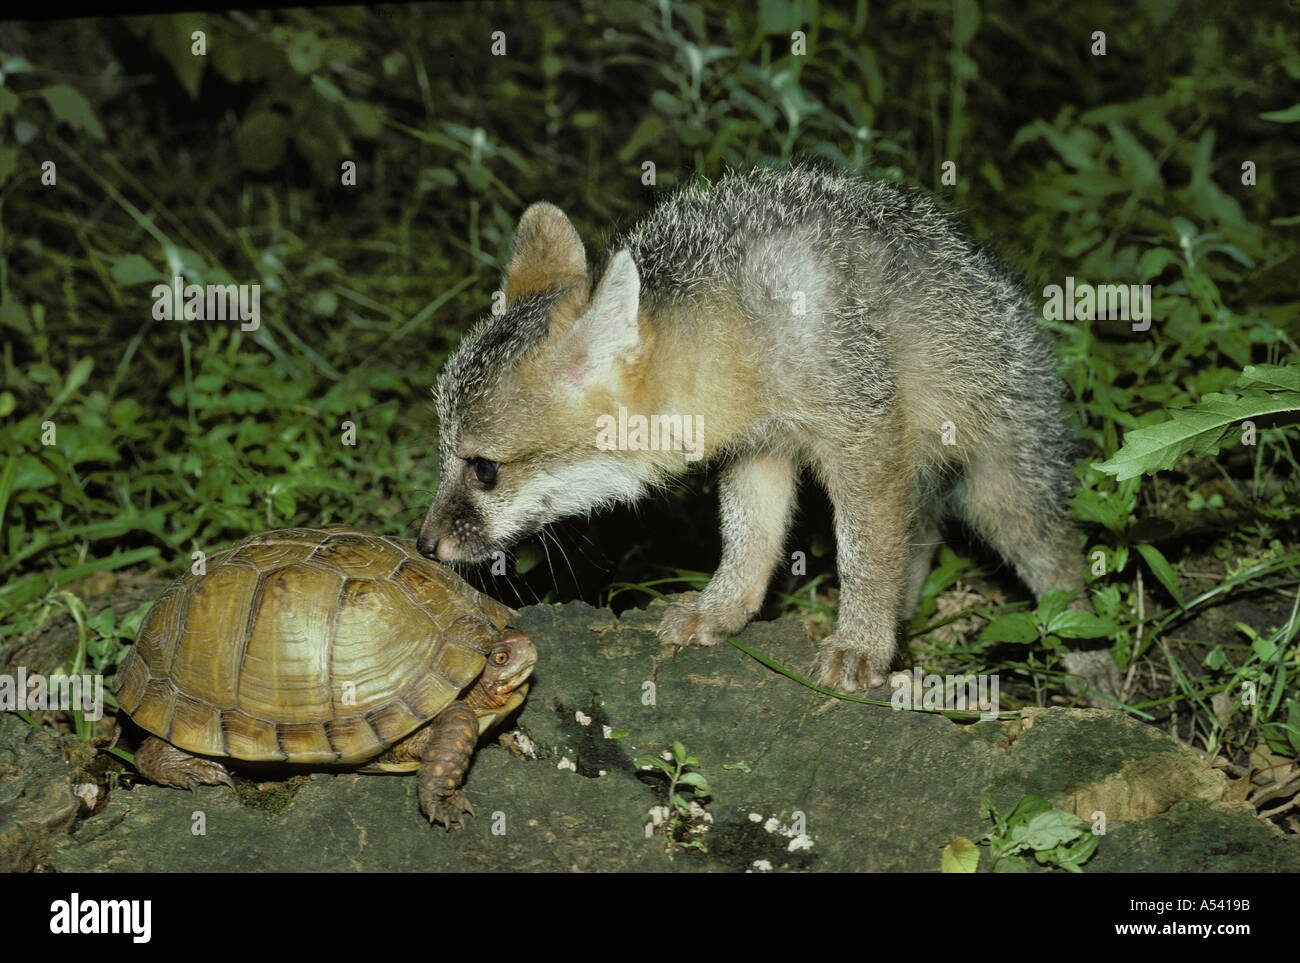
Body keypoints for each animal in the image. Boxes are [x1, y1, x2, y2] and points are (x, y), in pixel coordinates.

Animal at [417, 163, 1086, 692]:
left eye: (484, 469)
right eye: (444, 453)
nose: (424, 545)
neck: (741, 322)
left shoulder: (864, 440)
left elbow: (866, 557)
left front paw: (861, 644)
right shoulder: (758, 448)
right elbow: (750, 540)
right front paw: (724, 609)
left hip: (1002, 495)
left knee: (1062, 566)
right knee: (921, 542)